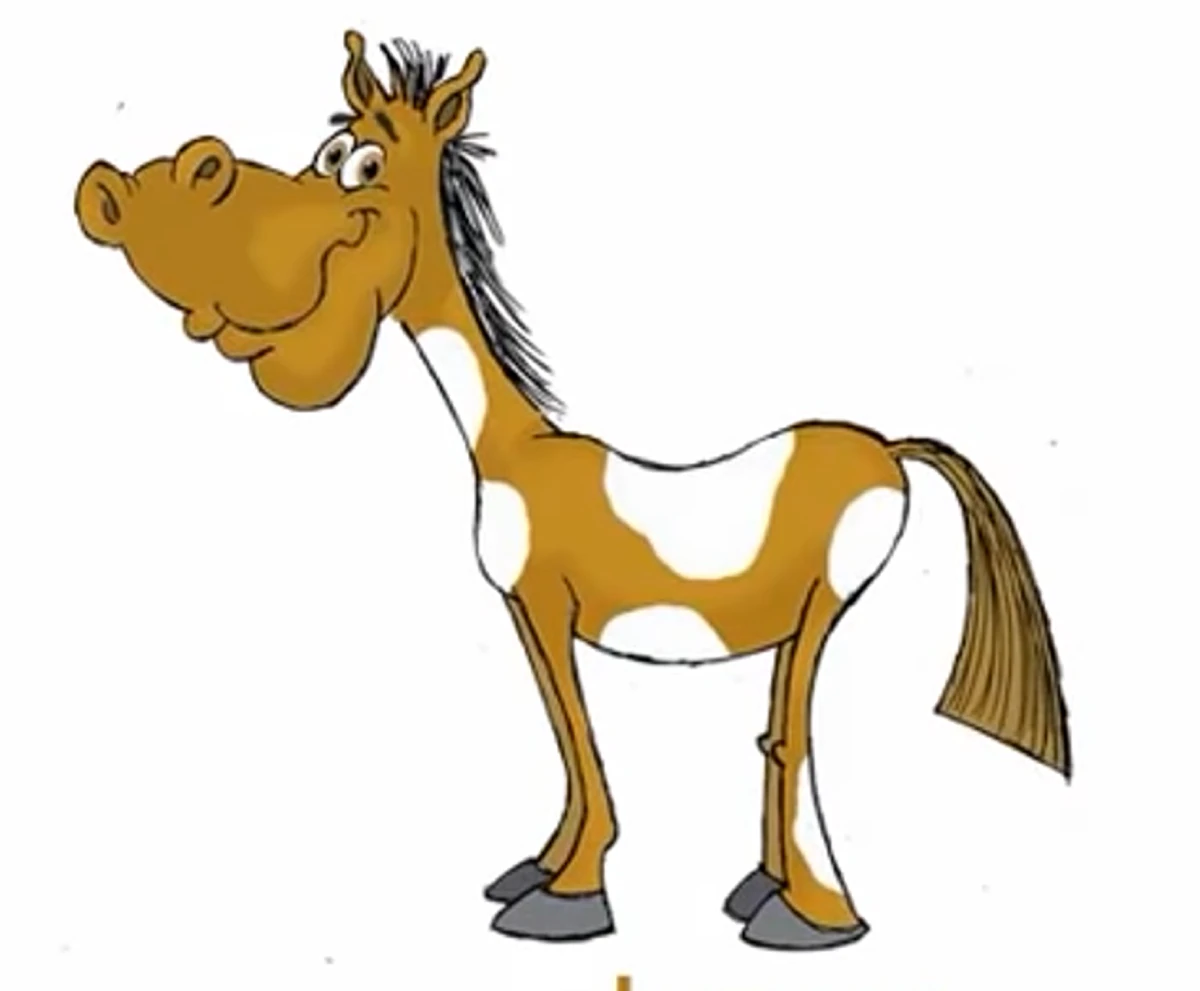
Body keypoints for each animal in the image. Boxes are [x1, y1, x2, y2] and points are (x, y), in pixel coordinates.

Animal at [74, 30, 1070, 951]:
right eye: (326, 154)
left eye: (361, 167)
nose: (110, 196)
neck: (508, 446)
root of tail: (889, 451)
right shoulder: (522, 606)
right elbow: (562, 732)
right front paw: (541, 866)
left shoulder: (551, 603)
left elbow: (581, 738)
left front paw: (569, 896)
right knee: (777, 730)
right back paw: (767, 892)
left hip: (829, 596)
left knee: (791, 732)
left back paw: (808, 916)